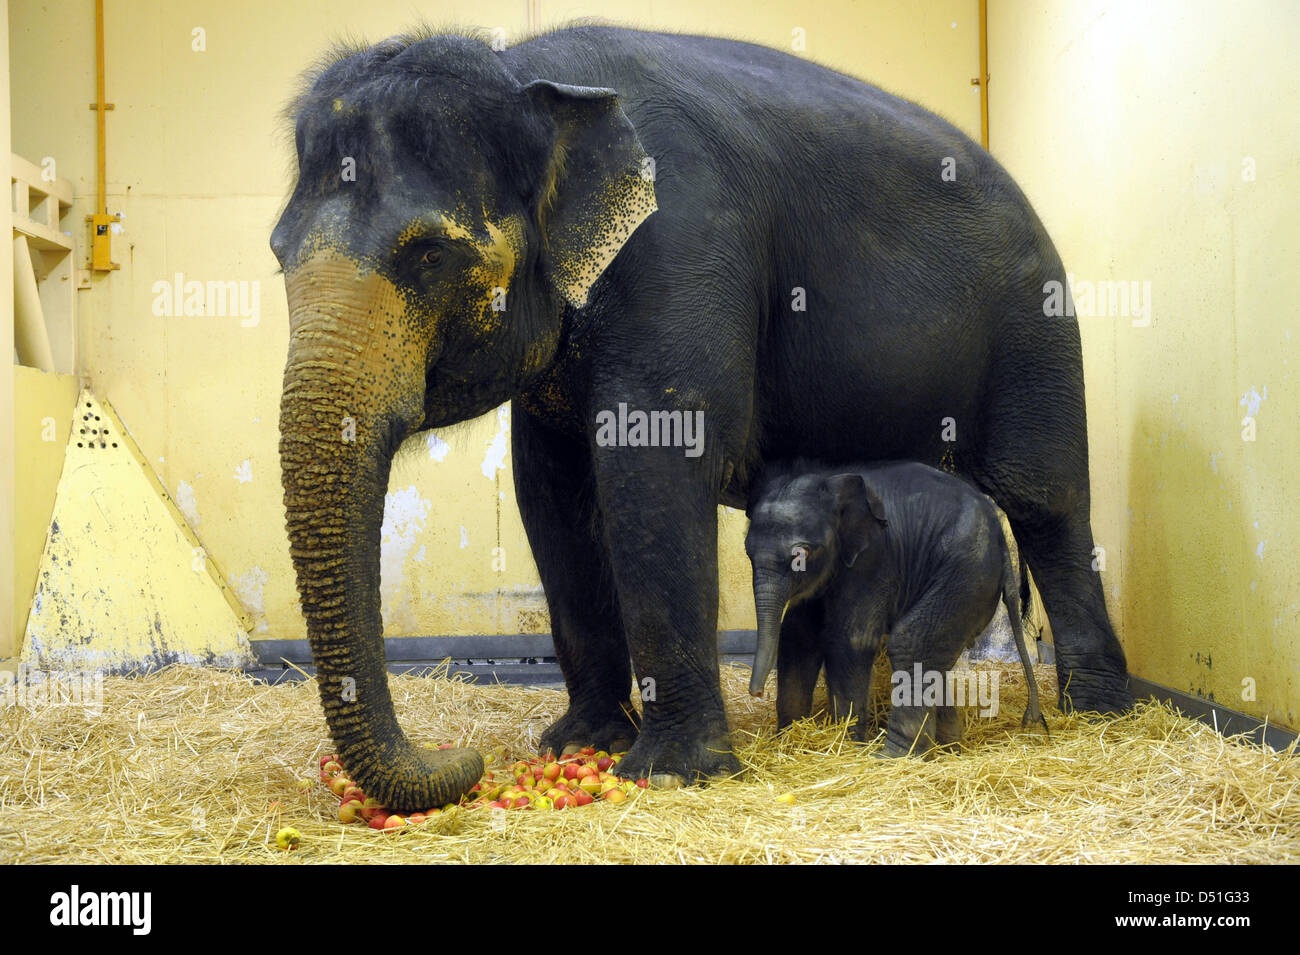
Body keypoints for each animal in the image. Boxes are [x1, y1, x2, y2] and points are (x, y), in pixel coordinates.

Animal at [745, 461, 1048, 753]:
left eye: (803, 553)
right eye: (747, 552)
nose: (756, 693)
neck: (831, 481)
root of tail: (1003, 541)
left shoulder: (875, 559)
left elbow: (851, 640)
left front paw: (847, 747)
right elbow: (798, 636)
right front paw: (788, 741)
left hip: (967, 574)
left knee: (911, 644)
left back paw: (892, 756)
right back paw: (949, 748)